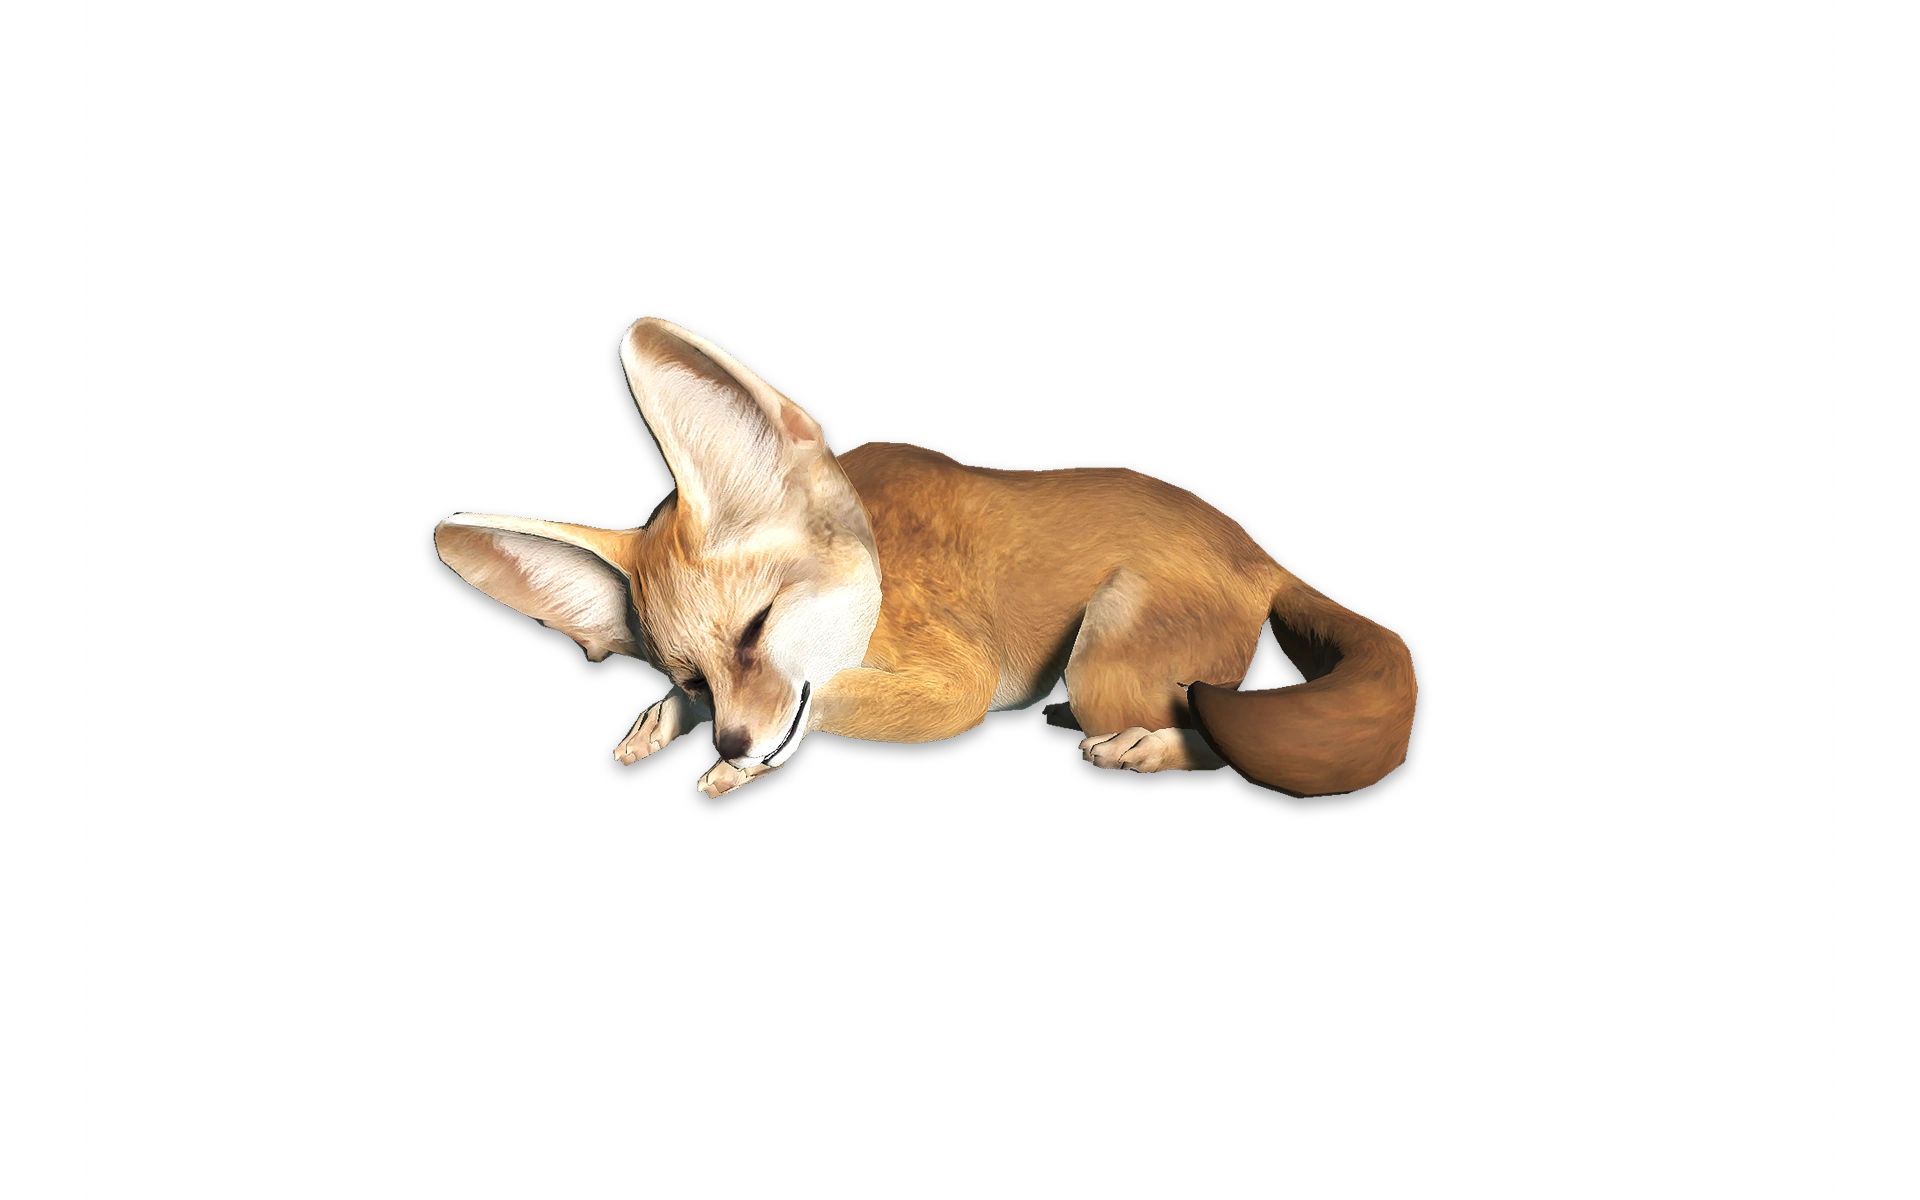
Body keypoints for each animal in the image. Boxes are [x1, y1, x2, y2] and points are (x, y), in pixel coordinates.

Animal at [436, 317, 1416, 797]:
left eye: (757, 628)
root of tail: (1256, 550)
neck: (883, 561)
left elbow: (830, 701)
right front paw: (669, 725)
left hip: (1101, 660)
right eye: (686, 672)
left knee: (1217, 735)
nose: (735, 740)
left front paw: (736, 764)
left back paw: (1139, 749)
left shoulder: (957, 686)